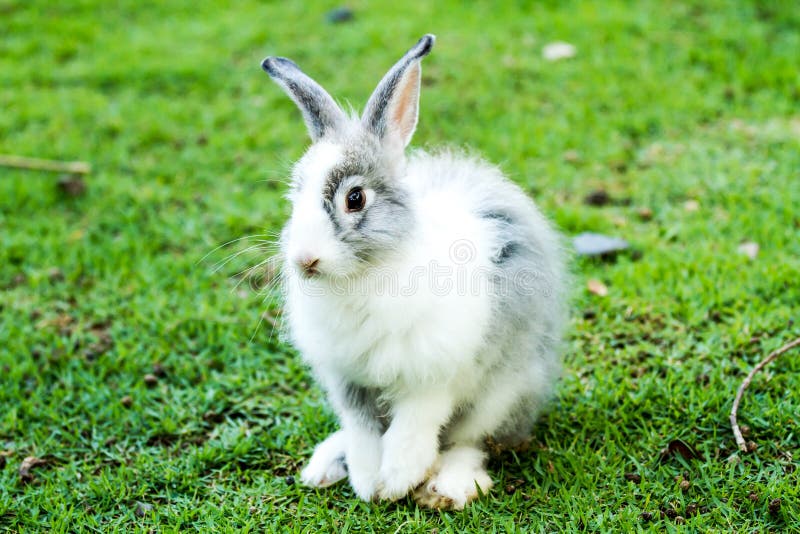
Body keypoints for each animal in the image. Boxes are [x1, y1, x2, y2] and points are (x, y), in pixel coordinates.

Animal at [261, 34, 567, 509]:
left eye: (354, 199)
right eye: (295, 199)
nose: (305, 260)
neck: (362, 277)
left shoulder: (431, 378)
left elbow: (412, 430)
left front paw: (396, 482)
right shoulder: (349, 382)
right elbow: (363, 432)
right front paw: (368, 482)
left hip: (502, 392)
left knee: (470, 441)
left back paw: (448, 487)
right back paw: (324, 467)